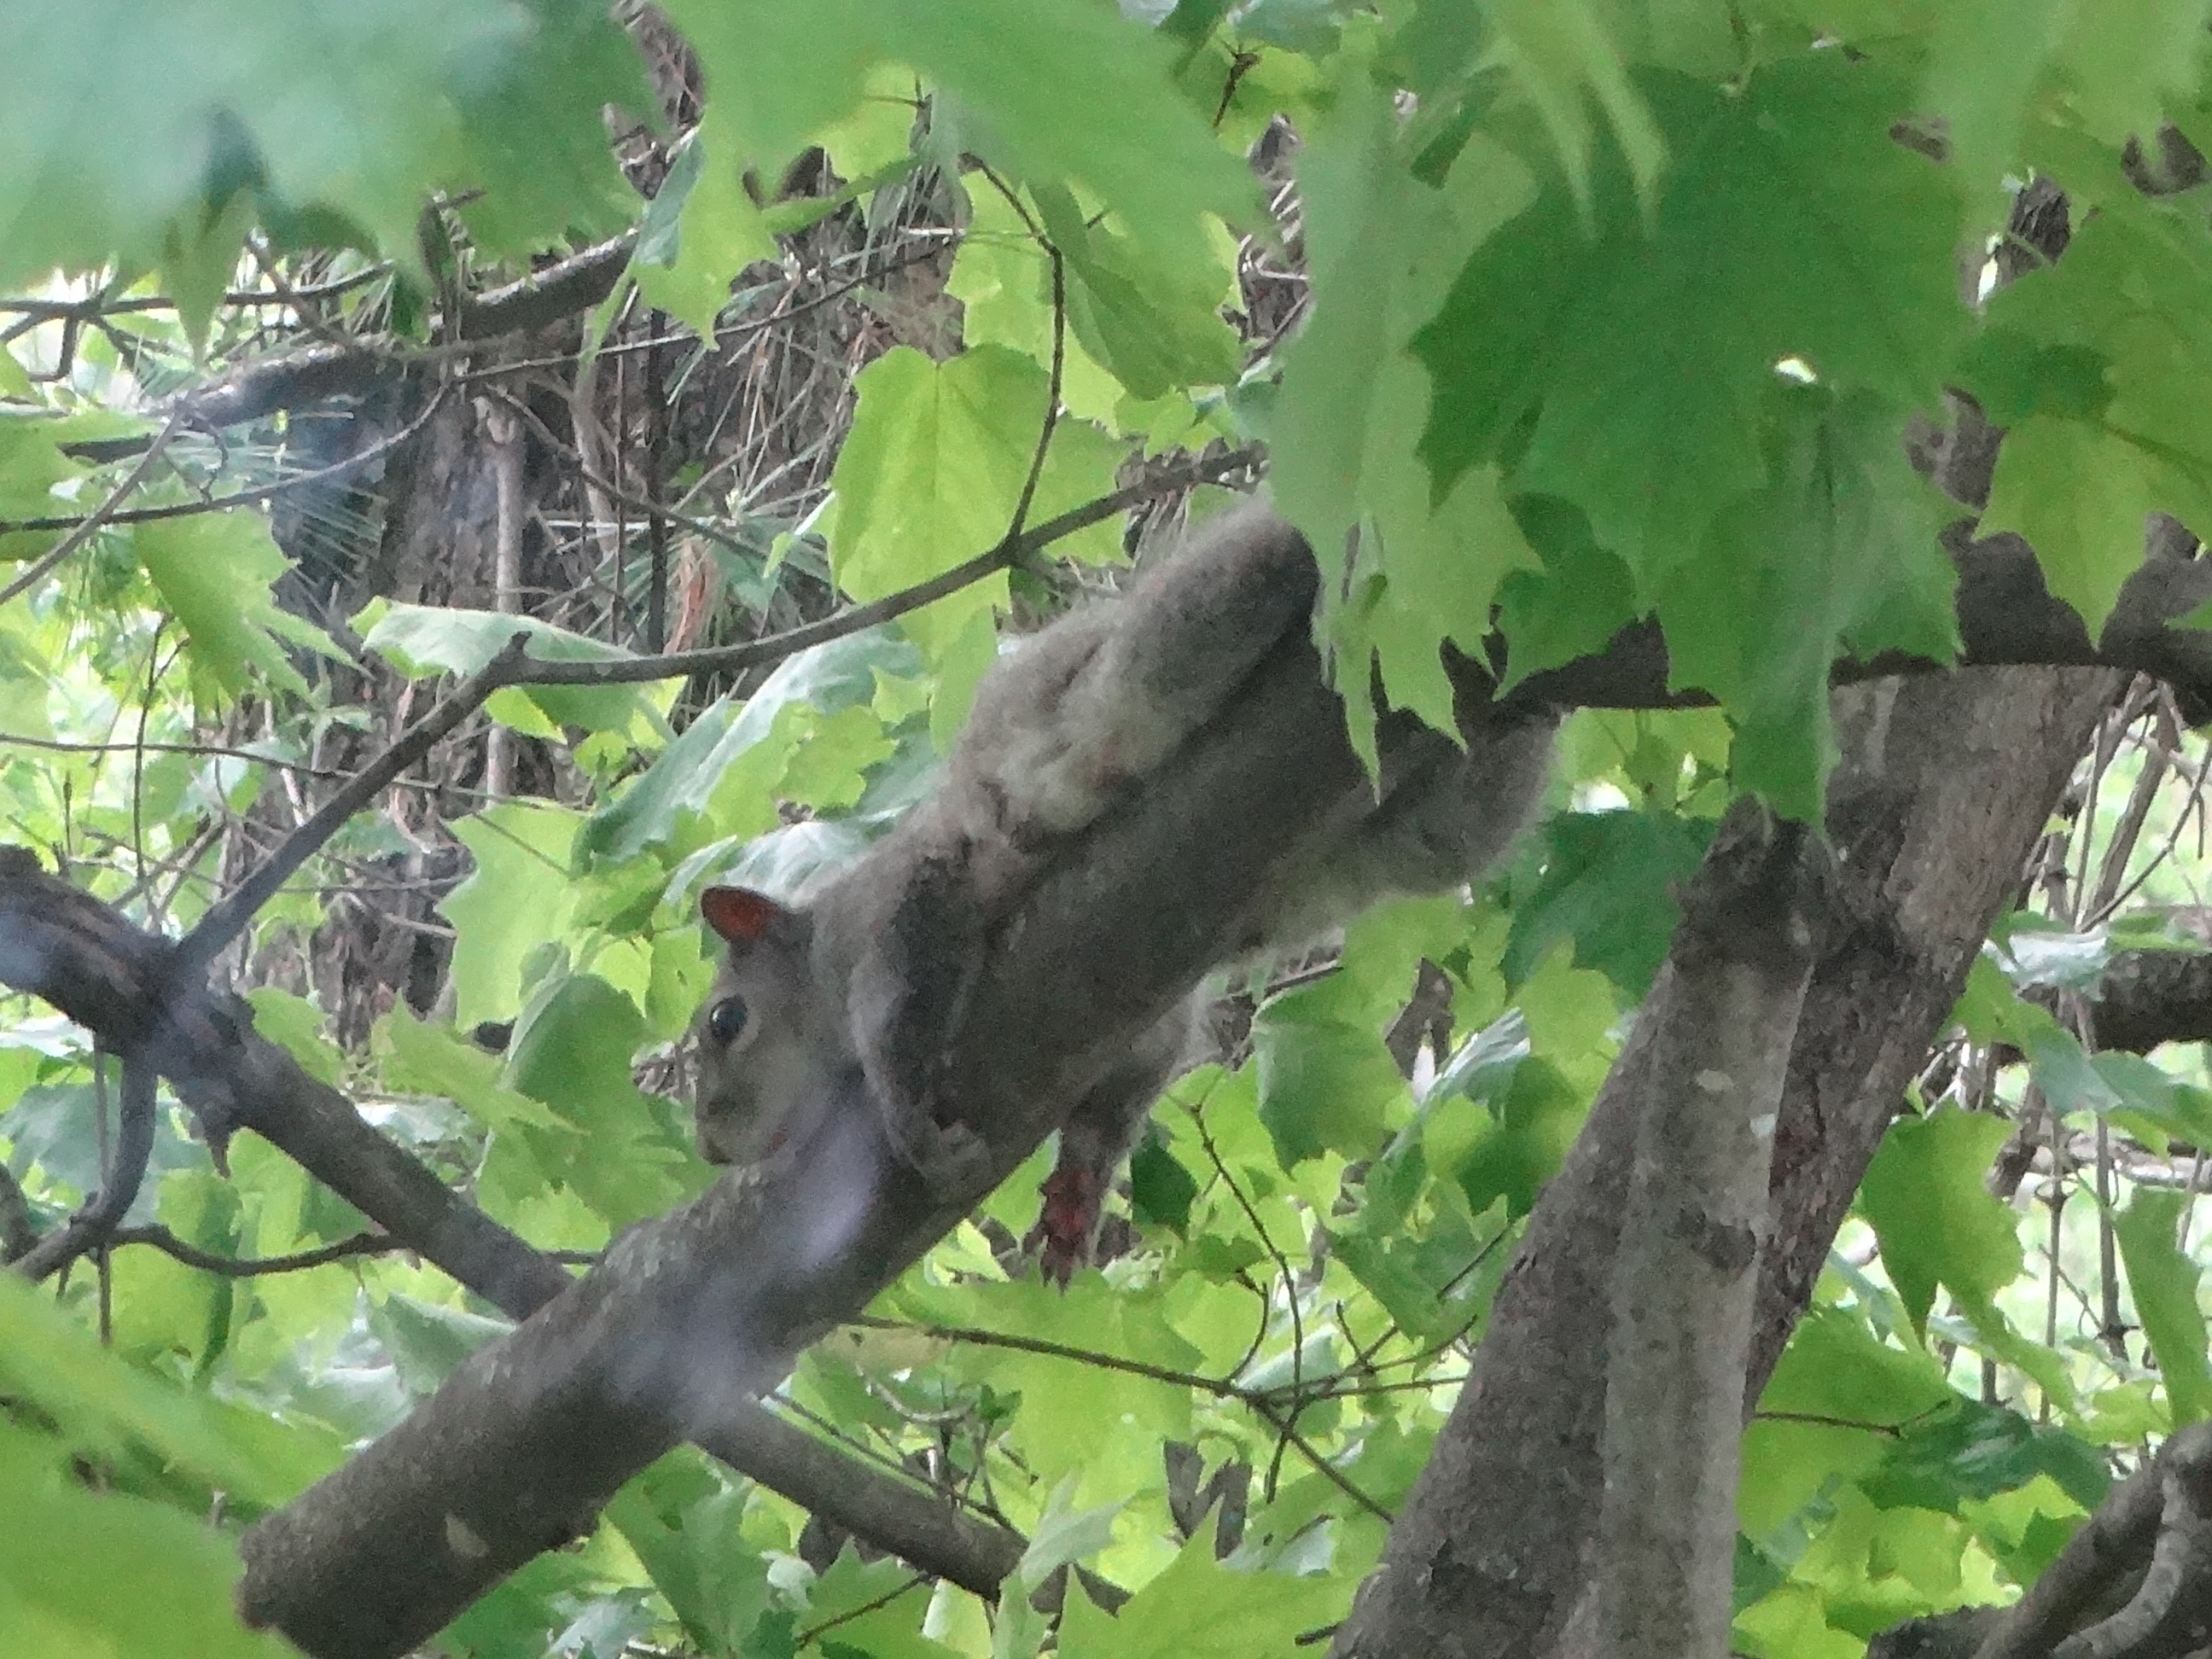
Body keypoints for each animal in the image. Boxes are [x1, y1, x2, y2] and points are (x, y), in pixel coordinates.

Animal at [693, 499, 1558, 1280]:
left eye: (725, 1021)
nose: (709, 1146)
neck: (822, 947)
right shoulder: (1144, 1024)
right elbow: (1125, 1093)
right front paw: (1077, 1192)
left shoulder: (904, 904)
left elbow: (899, 1014)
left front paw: (914, 1131)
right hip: (1437, 833)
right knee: (1478, 792)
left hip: (1166, 646)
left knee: (1269, 565)